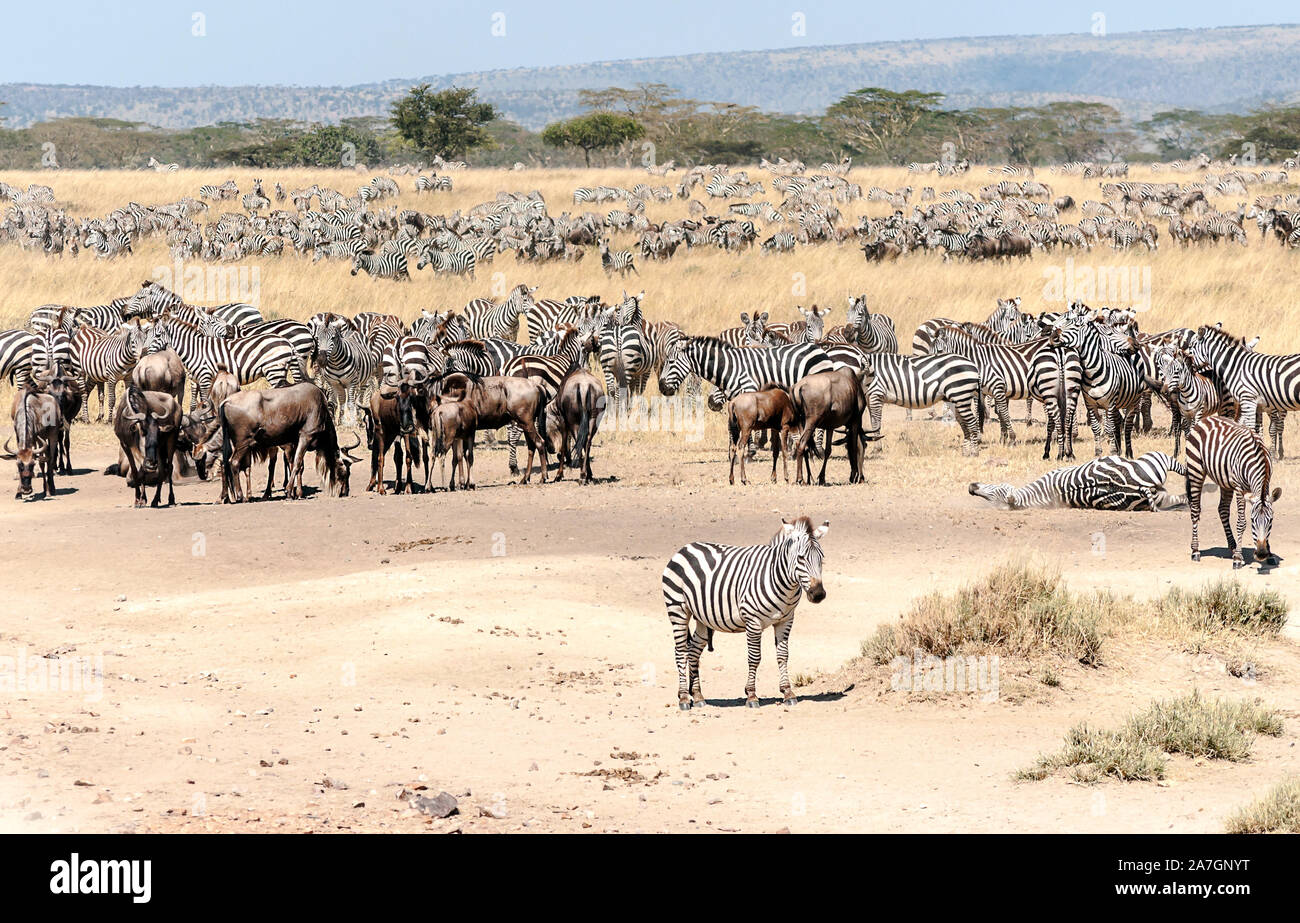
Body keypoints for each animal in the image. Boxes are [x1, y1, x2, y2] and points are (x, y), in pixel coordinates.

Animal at [662, 517, 829, 709]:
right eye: (801, 558)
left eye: (821, 558)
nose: (818, 594)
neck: (780, 579)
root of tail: (685, 548)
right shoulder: (753, 620)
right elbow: (754, 658)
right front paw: (751, 695)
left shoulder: (785, 620)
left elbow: (783, 656)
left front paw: (787, 692)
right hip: (677, 609)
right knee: (681, 651)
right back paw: (683, 697)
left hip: (703, 618)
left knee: (693, 651)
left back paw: (697, 696)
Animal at [969, 452, 1187, 511]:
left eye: (995, 489)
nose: (971, 488)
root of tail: (1139, 487)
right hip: (1155, 458)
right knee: (1183, 471)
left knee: (1182, 496)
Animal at [1186, 415, 1281, 568]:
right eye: (1252, 520)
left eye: (1271, 520)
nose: (1261, 554)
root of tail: (1206, 418)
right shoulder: (1239, 488)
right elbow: (1241, 522)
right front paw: (1238, 558)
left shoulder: (1266, 484)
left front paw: (1270, 554)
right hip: (1196, 470)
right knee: (1195, 510)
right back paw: (1195, 551)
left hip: (1224, 481)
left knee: (1223, 509)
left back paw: (1233, 546)